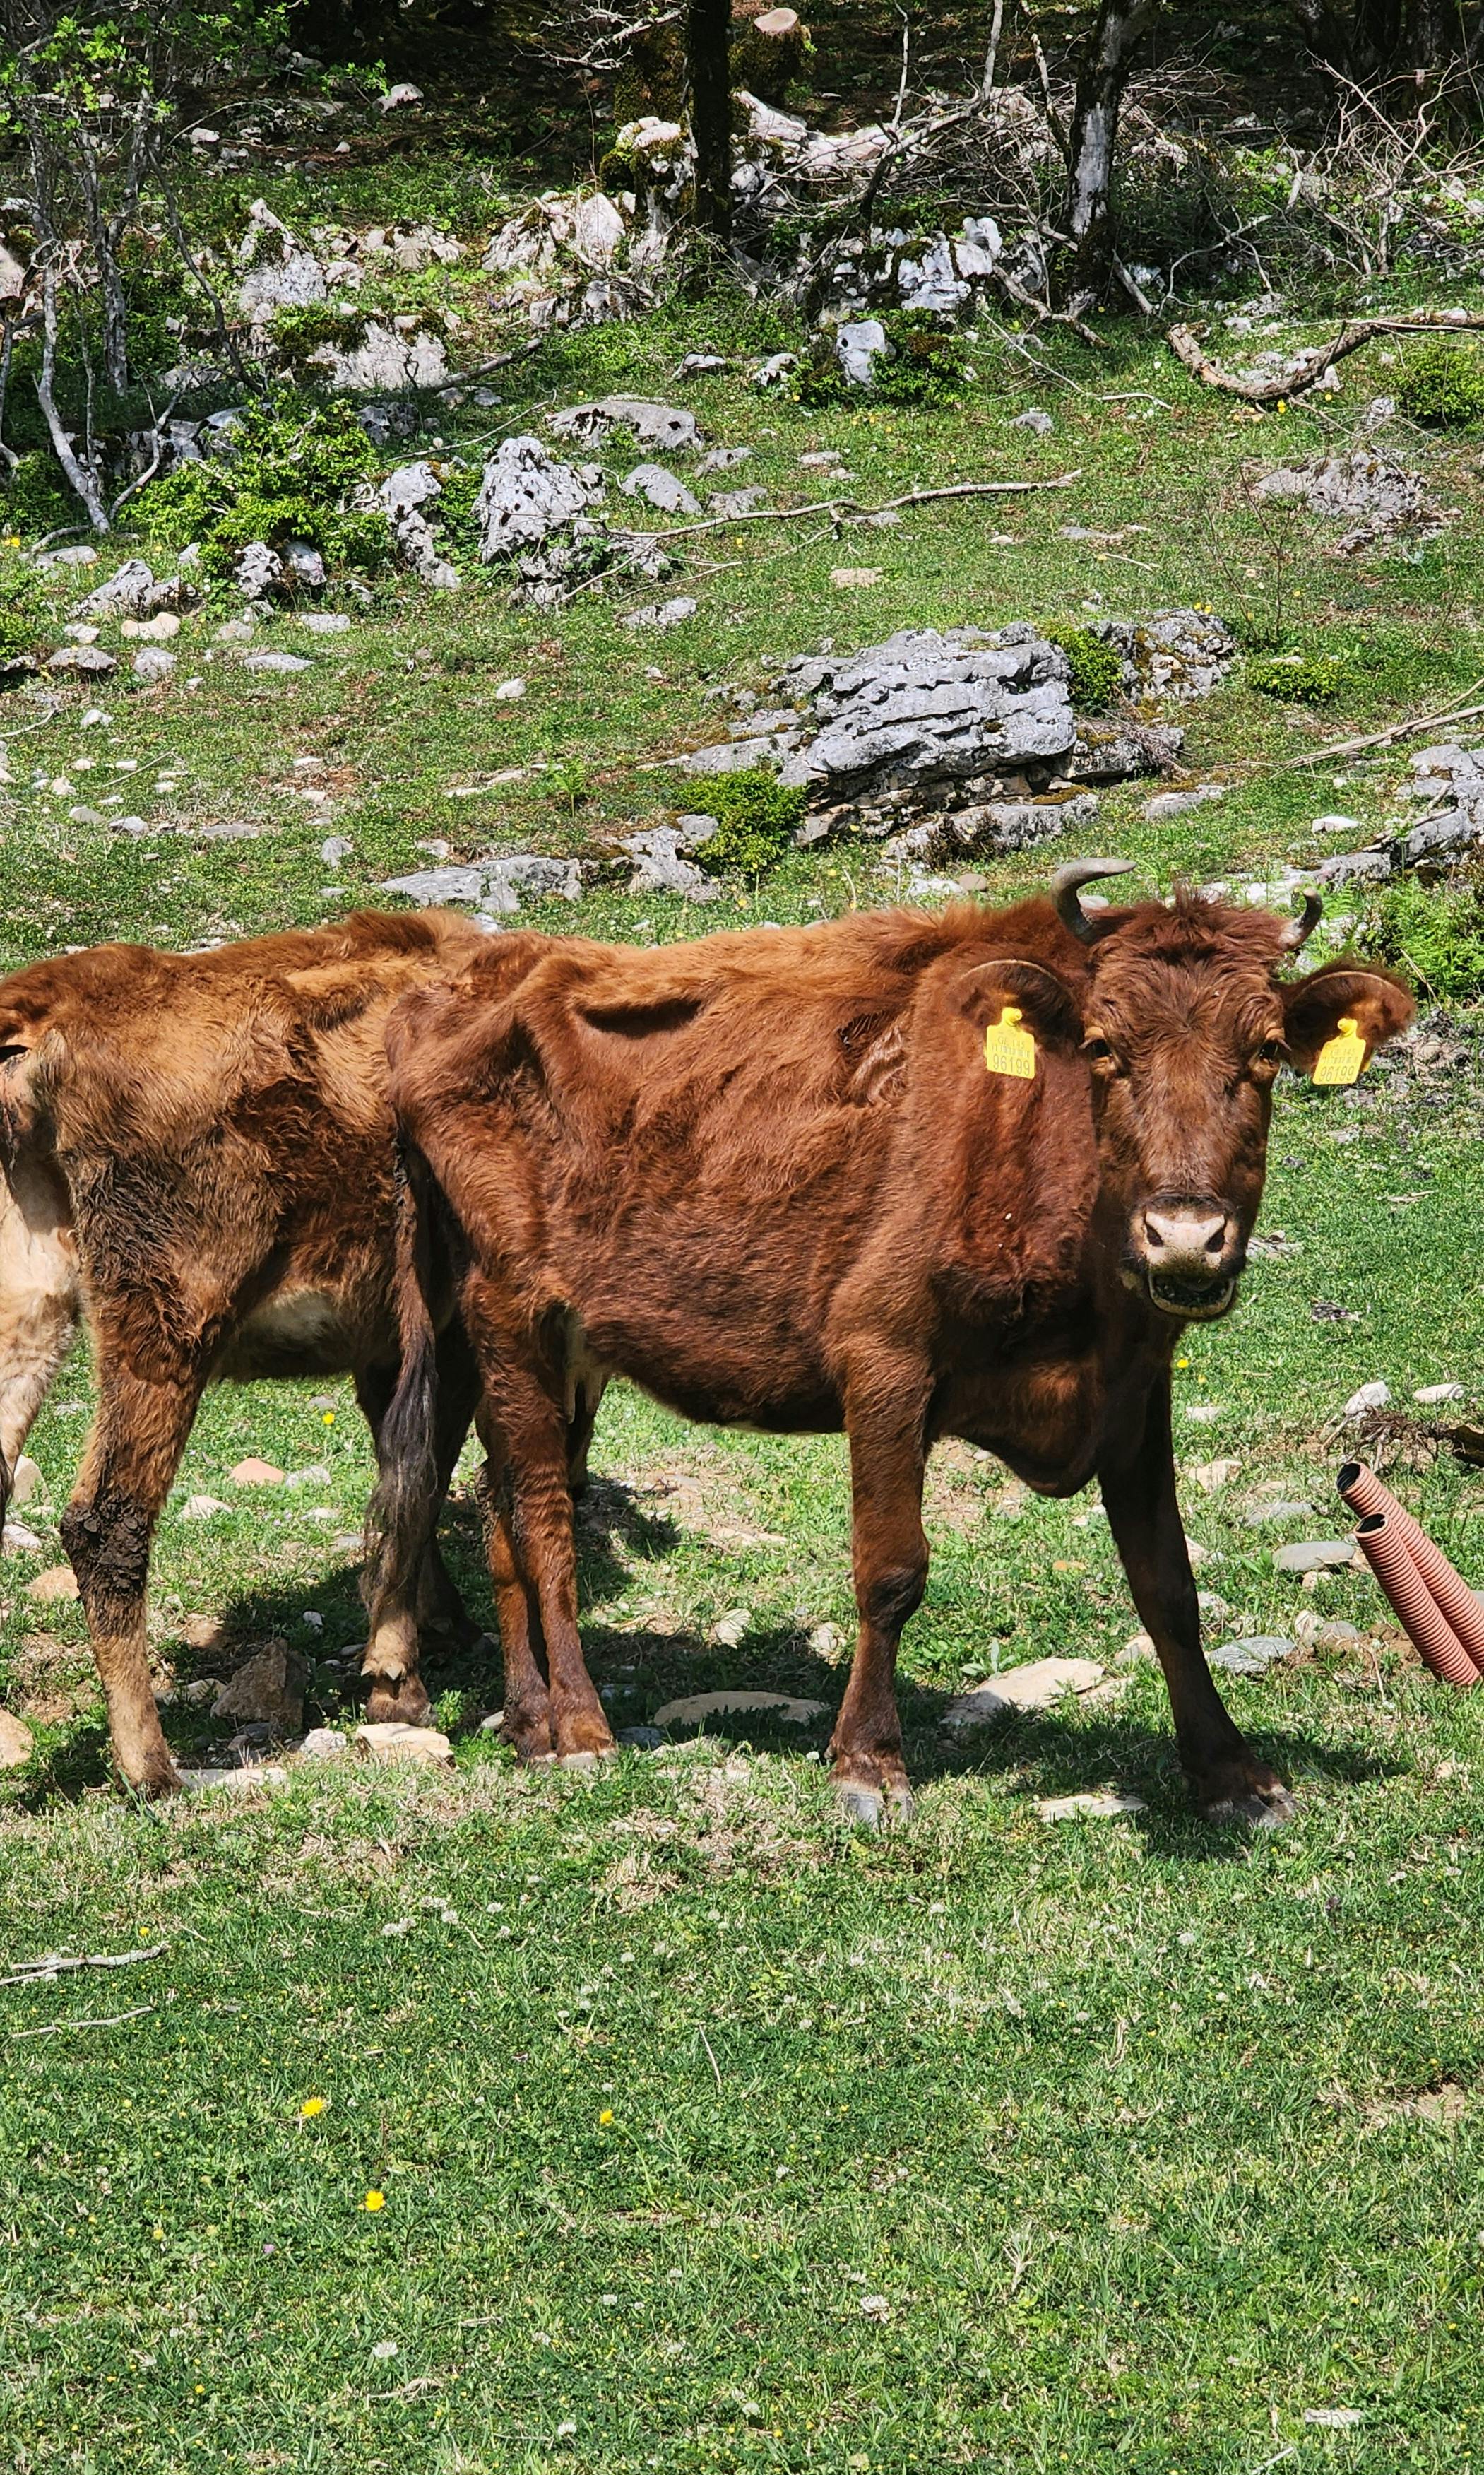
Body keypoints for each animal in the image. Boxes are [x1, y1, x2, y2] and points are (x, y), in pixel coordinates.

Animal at [0, 907, 515, 1798]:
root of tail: (44, 1004)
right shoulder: (445, 1326)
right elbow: (418, 1482)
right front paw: (398, 1678)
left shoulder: (385, 1340)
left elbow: (401, 1474)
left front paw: (433, 1625)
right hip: (168, 1305)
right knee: (106, 1519)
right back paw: (152, 1767)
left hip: (29, 1296)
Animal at [368, 861, 1413, 1828]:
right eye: (1104, 1048)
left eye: (1268, 1049)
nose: (1187, 1235)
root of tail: (453, 993)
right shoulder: (882, 1357)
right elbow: (890, 1569)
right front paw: (868, 1765)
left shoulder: (1134, 1387)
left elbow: (1167, 1581)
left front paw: (1233, 1773)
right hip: (510, 1316)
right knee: (542, 1520)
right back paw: (582, 1728)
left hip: (514, 1345)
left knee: (501, 1516)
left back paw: (531, 1721)